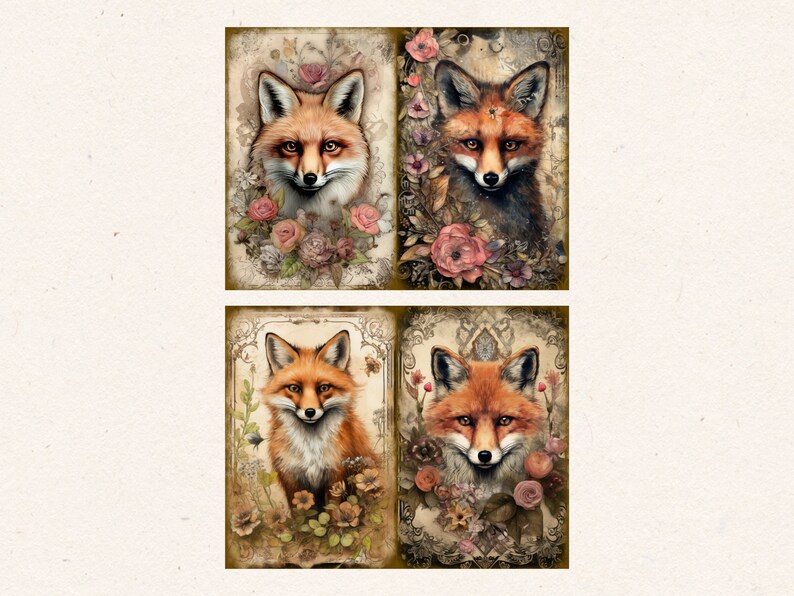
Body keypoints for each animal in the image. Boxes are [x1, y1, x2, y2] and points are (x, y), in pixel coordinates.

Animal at [261, 329, 377, 508]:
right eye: (294, 388)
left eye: (323, 388)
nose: (310, 412)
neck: (311, 448)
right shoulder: (292, 480)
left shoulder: (336, 477)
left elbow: (335, 511)